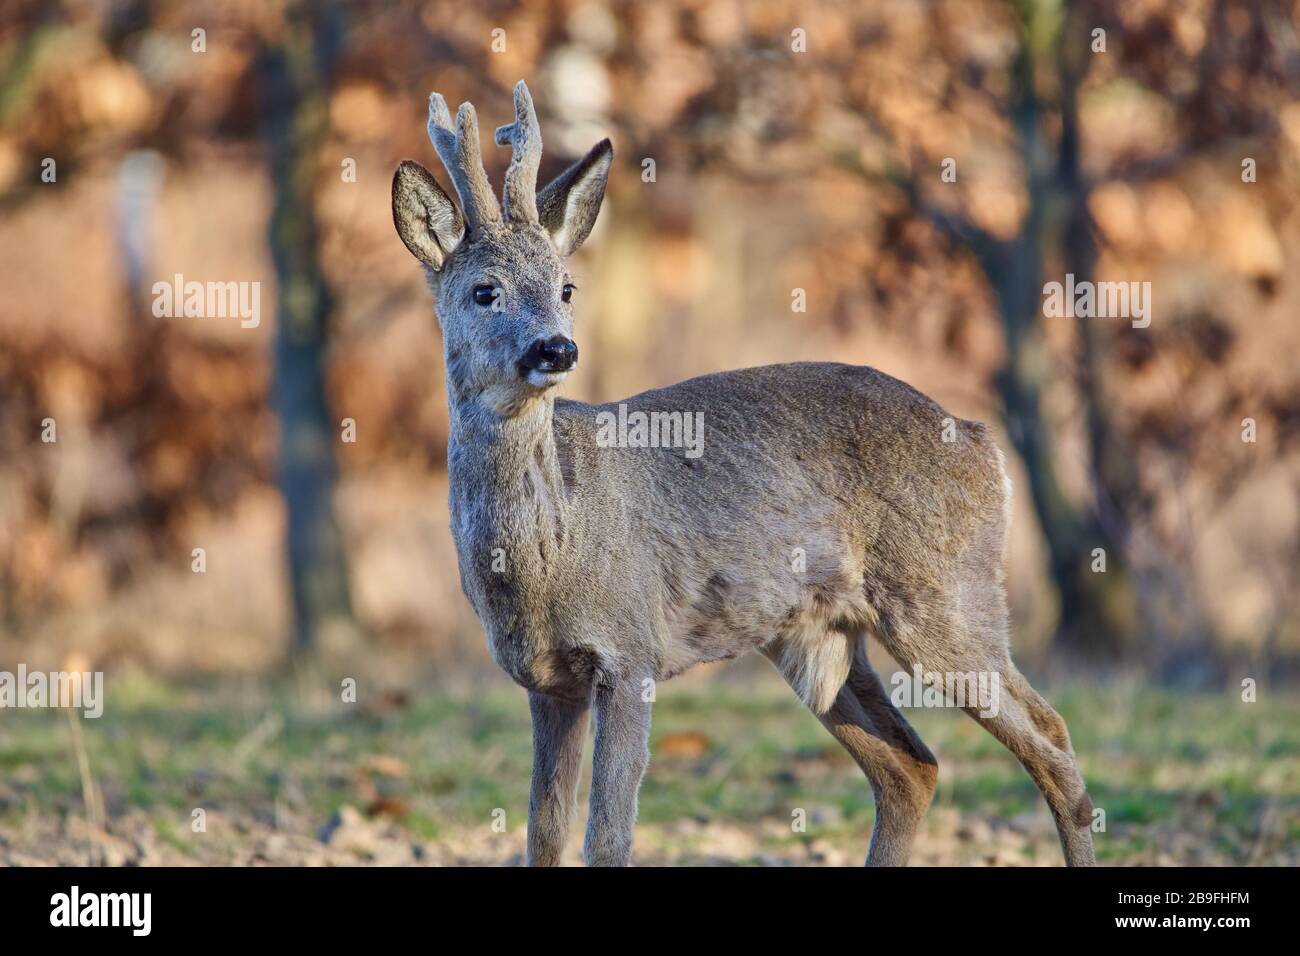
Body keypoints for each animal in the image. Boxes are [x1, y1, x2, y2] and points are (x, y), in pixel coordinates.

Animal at [391, 80, 1096, 867]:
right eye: (484, 290)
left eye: (566, 286)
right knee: (912, 765)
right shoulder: (546, 682)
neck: (549, 553)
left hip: (947, 593)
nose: (557, 348)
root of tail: (983, 443)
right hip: (817, 637)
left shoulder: (631, 651)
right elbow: (542, 836)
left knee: (1051, 741)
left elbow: (607, 837)